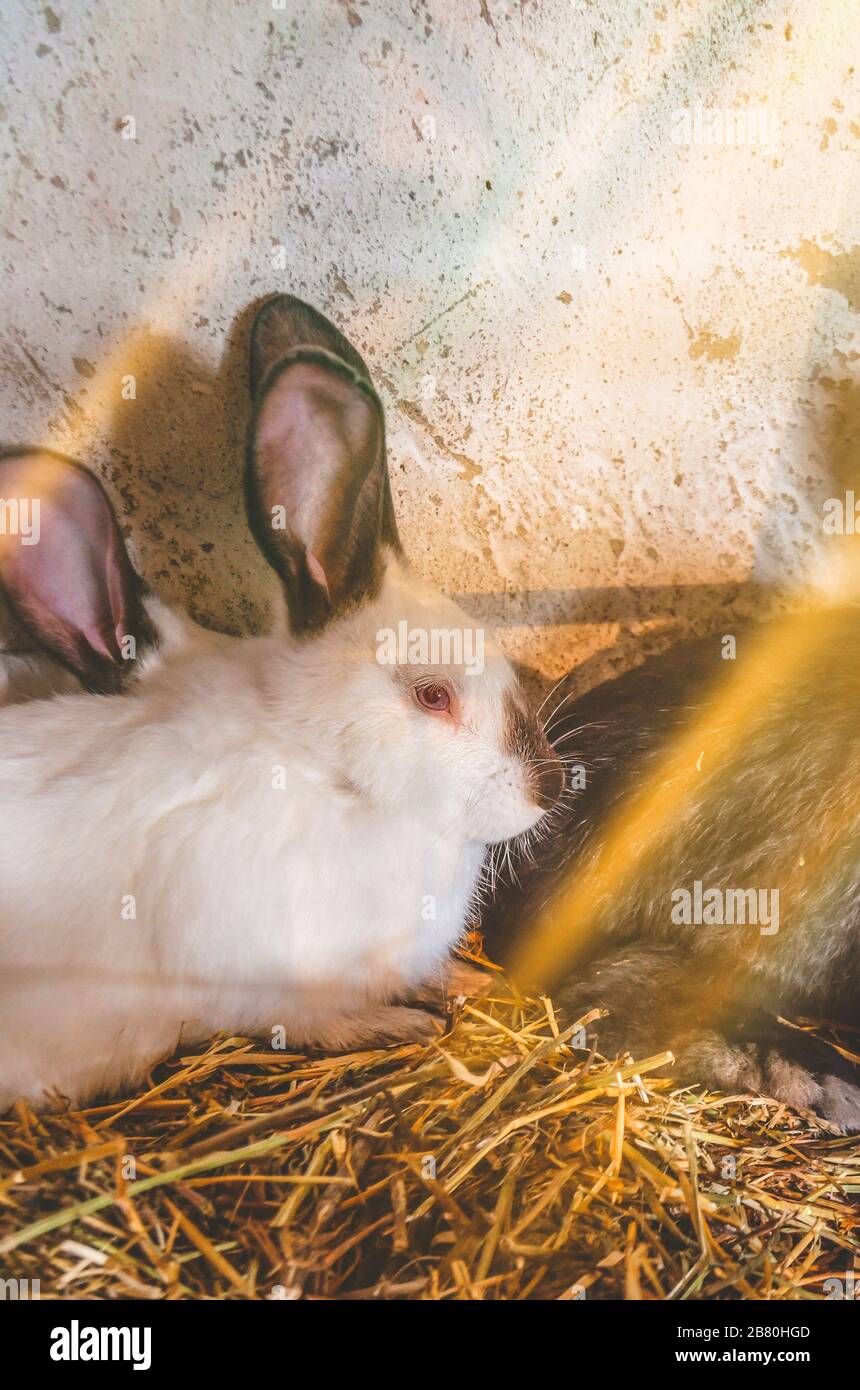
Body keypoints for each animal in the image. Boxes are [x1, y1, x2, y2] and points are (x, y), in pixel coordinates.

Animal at [0, 294, 563, 1111]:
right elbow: (312, 1023)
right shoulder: (257, 979)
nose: (547, 788)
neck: (330, 771)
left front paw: (468, 980)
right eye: (433, 695)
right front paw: (401, 1024)